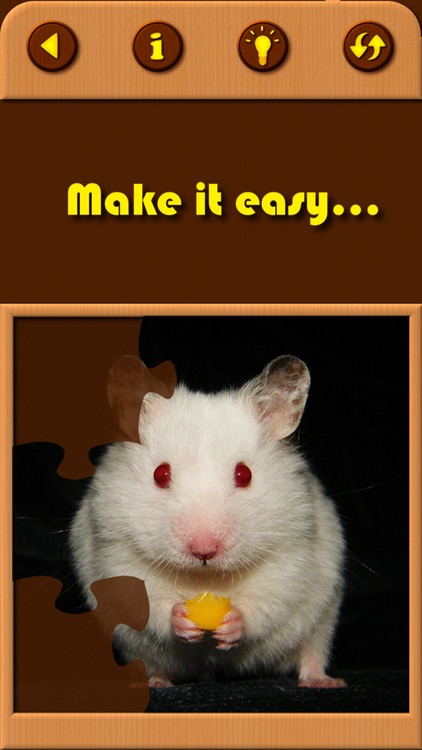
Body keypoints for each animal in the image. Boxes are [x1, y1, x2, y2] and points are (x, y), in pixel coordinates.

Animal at [70, 354, 346, 689]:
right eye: (160, 474)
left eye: (244, 474)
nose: (204, 551)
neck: (205, 577)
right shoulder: (114, 543)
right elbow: (148, 598)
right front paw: (181, 619)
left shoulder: (294, 543)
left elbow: (269, 596)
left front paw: (233, 623)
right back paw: (156, 682)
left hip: (324, 616)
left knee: (312, 650)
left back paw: (323, 681)